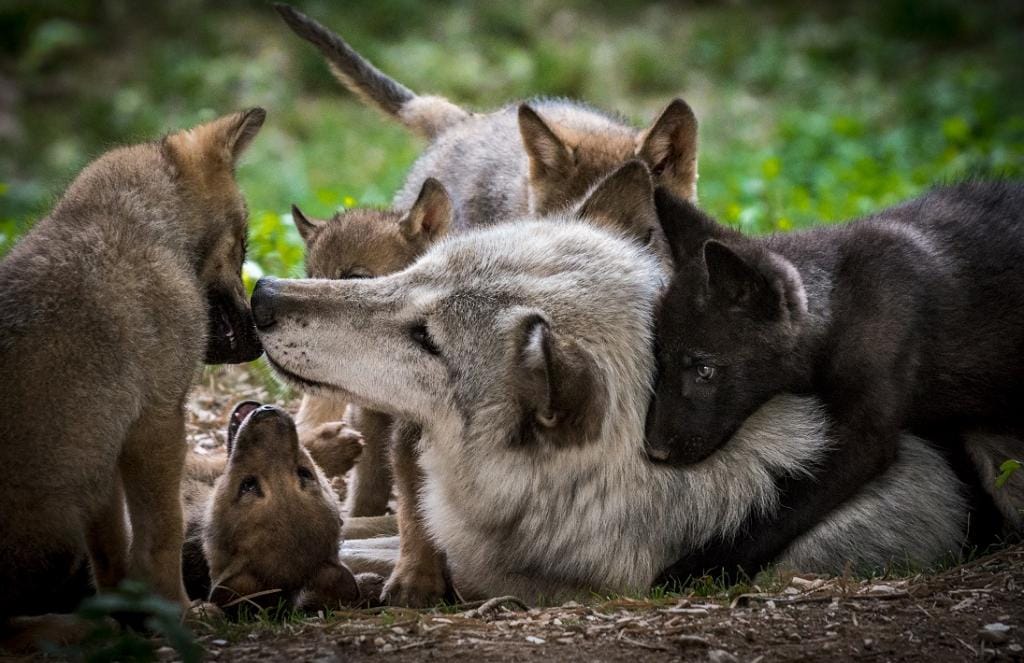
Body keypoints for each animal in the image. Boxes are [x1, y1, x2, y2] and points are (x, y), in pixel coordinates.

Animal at [0, 108, 265, 636]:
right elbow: (163, 533)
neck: (139, 226)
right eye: (243, 246)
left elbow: (114, 549)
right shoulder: (157, 424)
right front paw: (178, 613)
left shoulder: (105, 452)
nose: (258, 340)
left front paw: (131, 608)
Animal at [645, 182, 1024, 578]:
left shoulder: (863, 441)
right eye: (661, 361)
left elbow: (776, 518)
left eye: (704, 370)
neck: (840, 309)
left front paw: (690, 571)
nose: (654, 451)